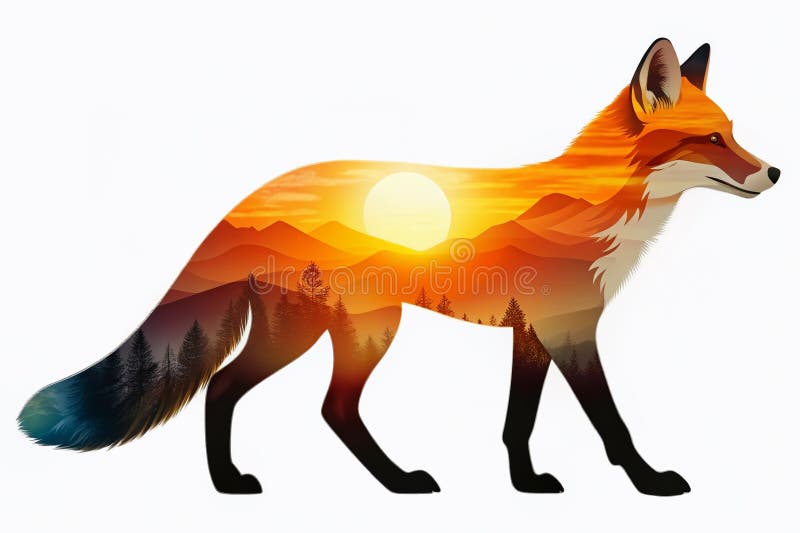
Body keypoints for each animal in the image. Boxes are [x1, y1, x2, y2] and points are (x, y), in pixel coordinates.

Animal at [18, 38, 779, 497]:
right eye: (713, 139)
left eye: (734, 133)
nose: (774, 171)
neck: (600, 207)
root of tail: (259, 194)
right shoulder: (568, 329)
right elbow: (612, 424)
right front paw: (650, 482)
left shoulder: (532, 334)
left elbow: (519, 422)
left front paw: (526, 484)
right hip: (360, 330)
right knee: (309, 404)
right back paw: (382, 482)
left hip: (316, 331)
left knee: (234, 391)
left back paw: (240, 481)